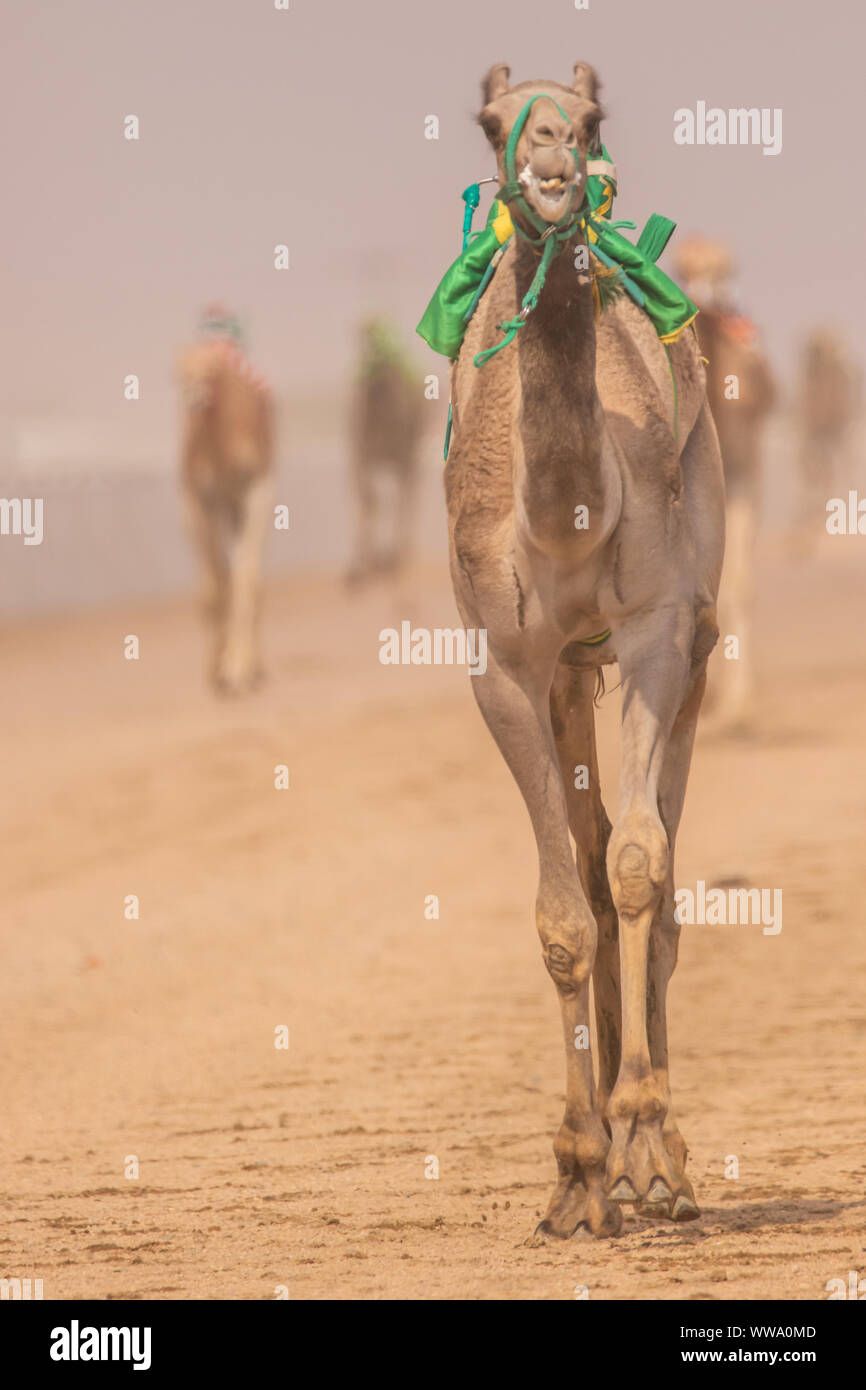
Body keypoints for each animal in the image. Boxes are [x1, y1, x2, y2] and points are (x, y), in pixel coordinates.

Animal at [345, 316, 425, 585]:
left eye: (384, 337)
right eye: (361, 334)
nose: (372, 354)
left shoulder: (403, 456)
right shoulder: (360, 455)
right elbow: (369, 501)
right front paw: (359, 570)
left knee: (408, 494)